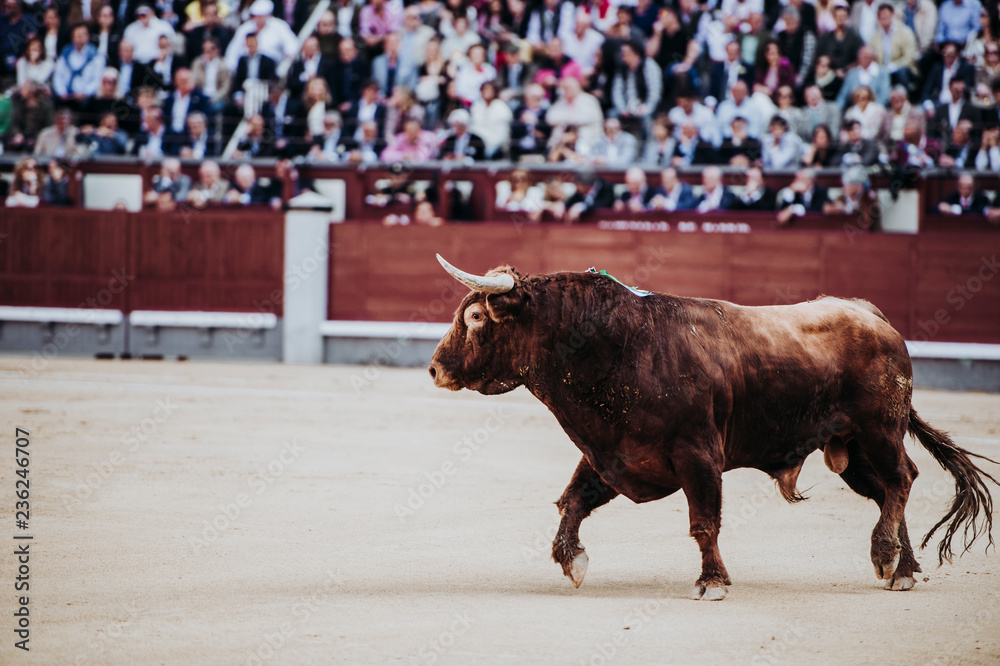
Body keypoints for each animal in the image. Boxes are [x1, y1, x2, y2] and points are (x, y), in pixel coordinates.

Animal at [428, 254, 999, 601]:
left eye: (476, 317)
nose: (434, 369)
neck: (615, 346)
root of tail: (873, 316)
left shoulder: (698, 455)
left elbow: (704, 521)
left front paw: (712, 582)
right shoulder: (612, 453)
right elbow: (572, 501)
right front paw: (573, 561)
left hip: (879, 429)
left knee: (901, 479)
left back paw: (886, 558)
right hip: (850, 449)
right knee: (888, 491)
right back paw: (903, 569)